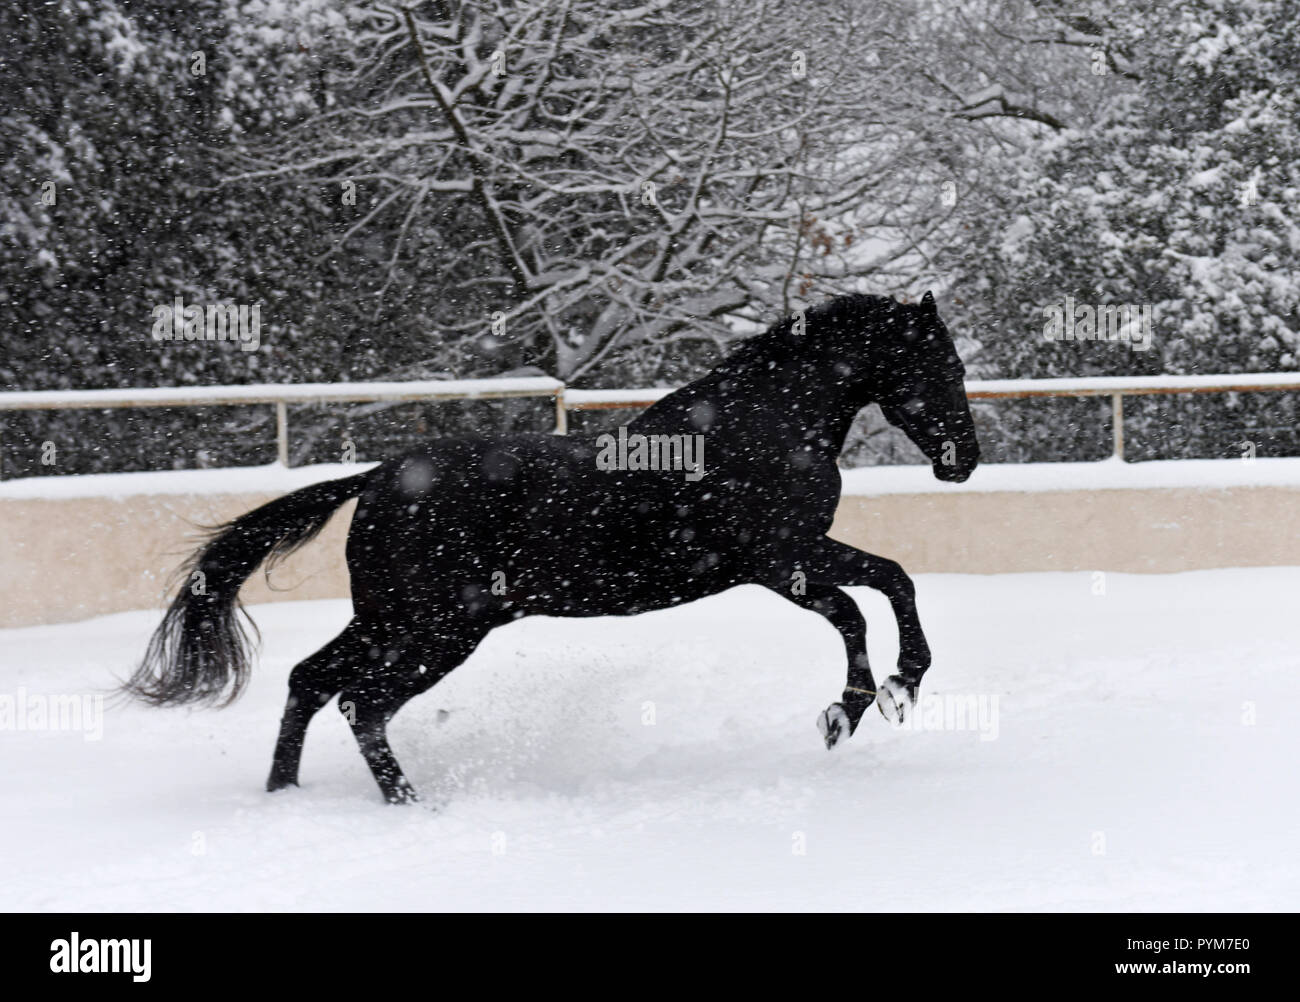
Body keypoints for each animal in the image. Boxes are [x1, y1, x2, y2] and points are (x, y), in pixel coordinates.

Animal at [126, 292, 980, 803]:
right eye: (940, 364)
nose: (963, 461)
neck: (761, 423)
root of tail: (376, 480)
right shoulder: (780, 561)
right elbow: (867, 602)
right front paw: (867, 702)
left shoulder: (789, 558)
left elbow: (886, 586)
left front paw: (882, 696)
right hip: (436, 628)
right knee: (359, 700)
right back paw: (407, 804)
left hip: (397, 621)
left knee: (311, 680)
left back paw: (288, 796)